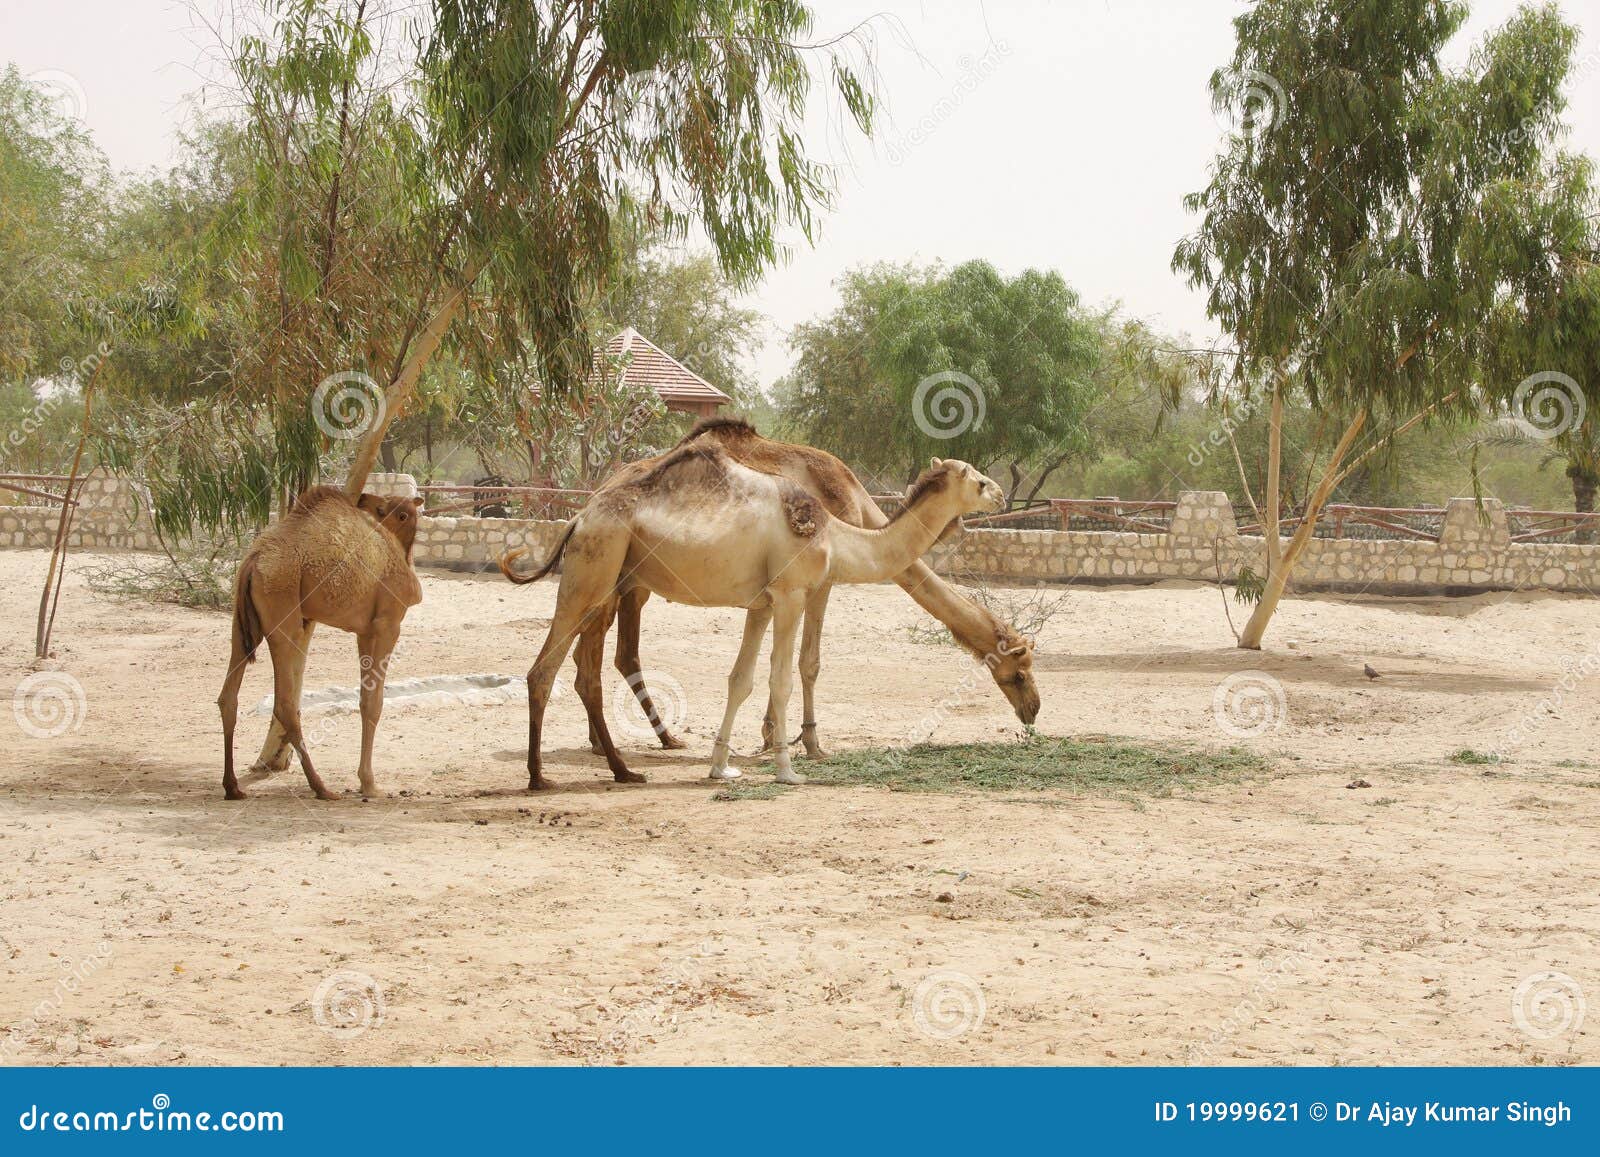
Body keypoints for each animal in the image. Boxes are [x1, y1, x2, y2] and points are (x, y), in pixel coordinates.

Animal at [218, 486, 423, 801]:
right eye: (394, 512)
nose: (365, 498)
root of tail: (253, 561)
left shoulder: (364, 631)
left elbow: (366, 700)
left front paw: (366, 782)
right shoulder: (387, 624)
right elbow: (373, 702)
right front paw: (370, 784)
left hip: (240, 623)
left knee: (228, 697)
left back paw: (232, 786)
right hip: (283, 609)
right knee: (285, 704)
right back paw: (322, 787)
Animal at [499, 440, 1005, 787]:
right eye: (979, 481)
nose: (1000, 495)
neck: (838, 536)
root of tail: (578, 517)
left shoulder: (760, 605)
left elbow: (739, 680)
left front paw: (720, 766)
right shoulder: (790, 594)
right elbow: (779, 681)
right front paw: (787, 770)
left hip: (606, 576)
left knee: (582, 673)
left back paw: (621, 771)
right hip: (594, 568)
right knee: (544, 670)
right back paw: (540, 777)